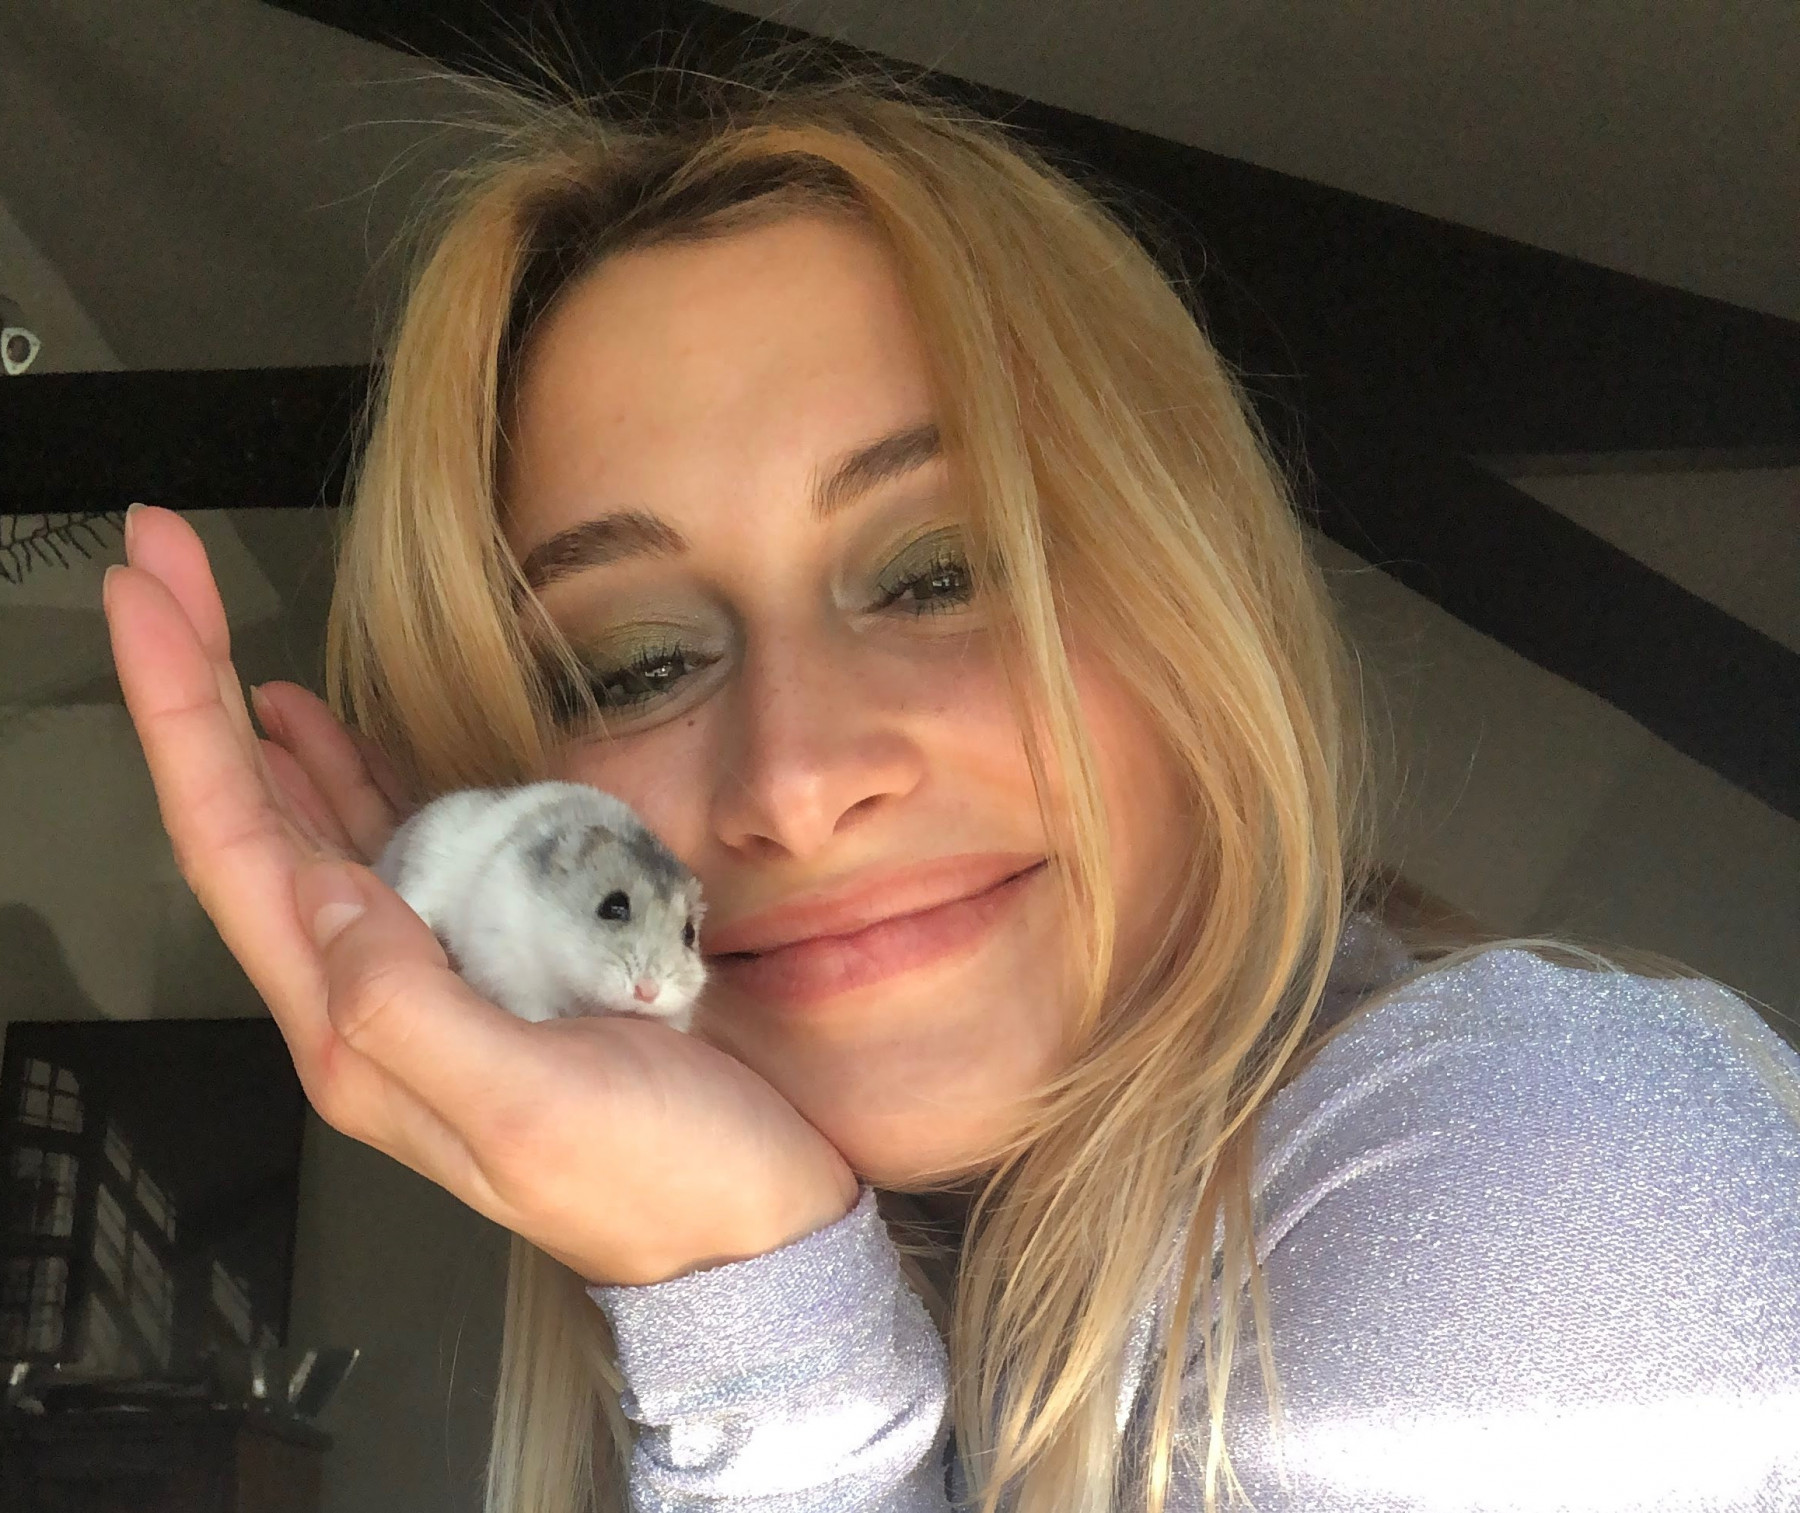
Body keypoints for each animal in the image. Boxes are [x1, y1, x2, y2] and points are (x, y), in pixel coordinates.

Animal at [374, 781, 706, 1031]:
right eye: (613, 907)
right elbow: (534, 1011)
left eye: (689, 934)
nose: (647, 993)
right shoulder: (512, 974)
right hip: (429, 866)